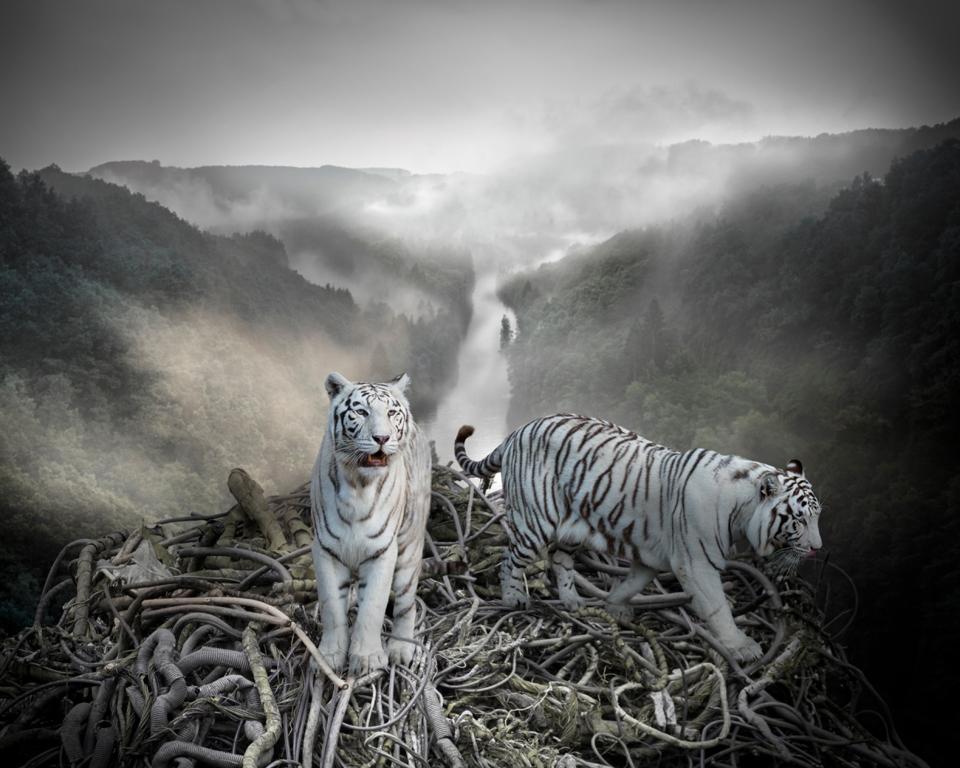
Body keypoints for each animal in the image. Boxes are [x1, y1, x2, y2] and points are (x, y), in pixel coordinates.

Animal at [310, 372, 431, 674]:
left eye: (391, 413)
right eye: (361, 412)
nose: (382, 437)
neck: (358, 485)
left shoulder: (383, 551)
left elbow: (373, 608)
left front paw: (366, 658)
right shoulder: (325, 550)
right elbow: (331, 607)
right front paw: (329, 656)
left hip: (409, 549)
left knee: (406, 603)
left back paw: (401, 649)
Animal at [455, 414, 822, 662]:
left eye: (818, 516)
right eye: (799, 519)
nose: (817, 549)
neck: (741, 512)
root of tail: (517, 431)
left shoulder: (652, 554)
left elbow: (633, 582)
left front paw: (615, 607)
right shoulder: (697, 563)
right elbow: (718, 608)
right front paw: (742, 647)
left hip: (570, 527)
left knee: (560, 559)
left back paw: (573, 601)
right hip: (535, 521)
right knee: (510, 558)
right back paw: (514, 597)